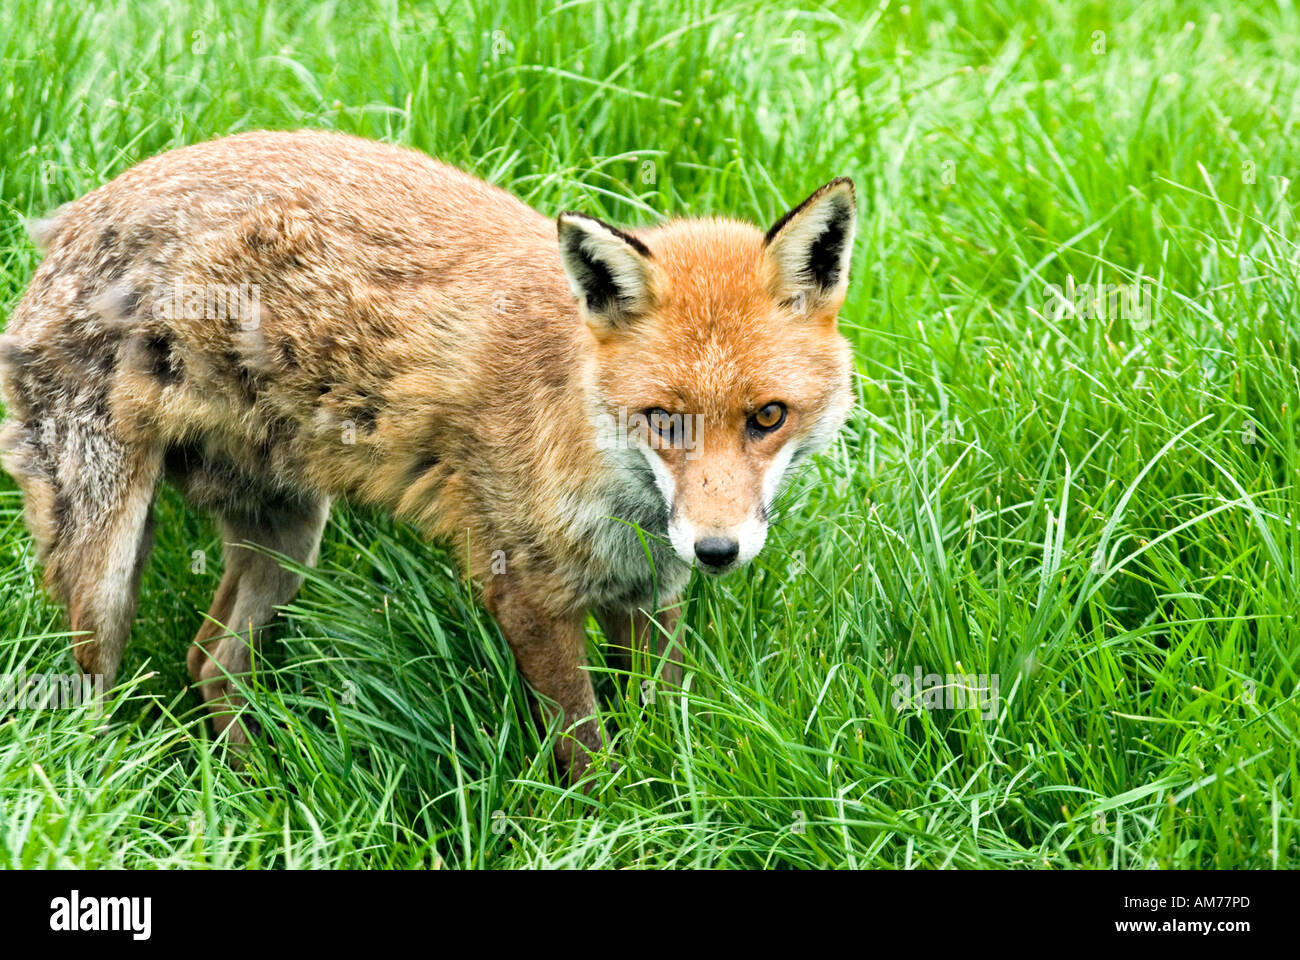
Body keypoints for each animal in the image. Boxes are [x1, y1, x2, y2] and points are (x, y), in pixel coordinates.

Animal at [0, 130, 856, 783]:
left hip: (287, 539)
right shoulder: (524, 593)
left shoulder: (648, 592)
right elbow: (588, 755)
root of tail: (73, 218)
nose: (717, 550)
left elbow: (661, 722)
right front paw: (617, 822)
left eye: (767, 417)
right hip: (106, 574)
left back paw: (261, 791)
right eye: (664, 422)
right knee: (89, 704)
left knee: (211, 662)